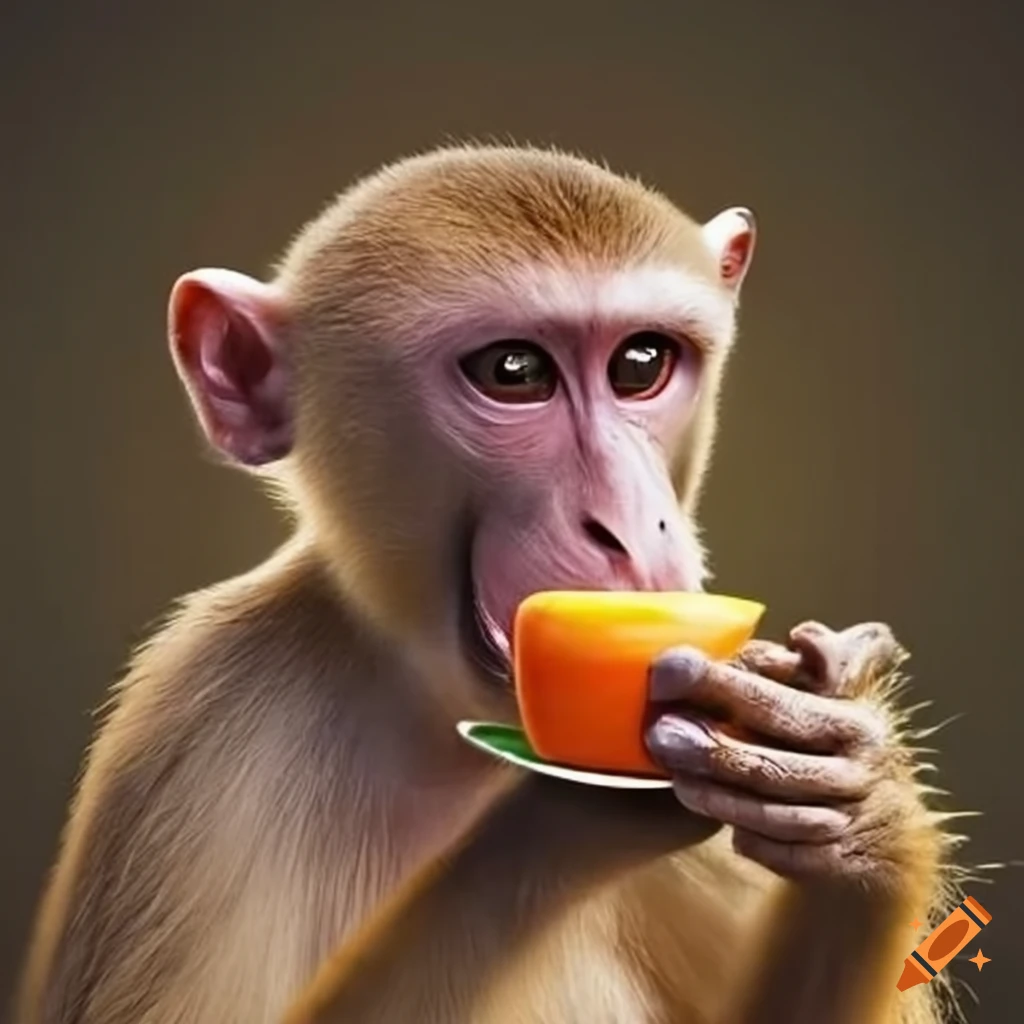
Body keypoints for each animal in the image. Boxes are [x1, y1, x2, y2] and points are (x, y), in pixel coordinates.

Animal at [17, 144, 963, 1024]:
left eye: (641, 363)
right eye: (515, 373)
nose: (631, 527)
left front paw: (865, 816)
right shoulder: (207, 734)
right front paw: (556, 825)